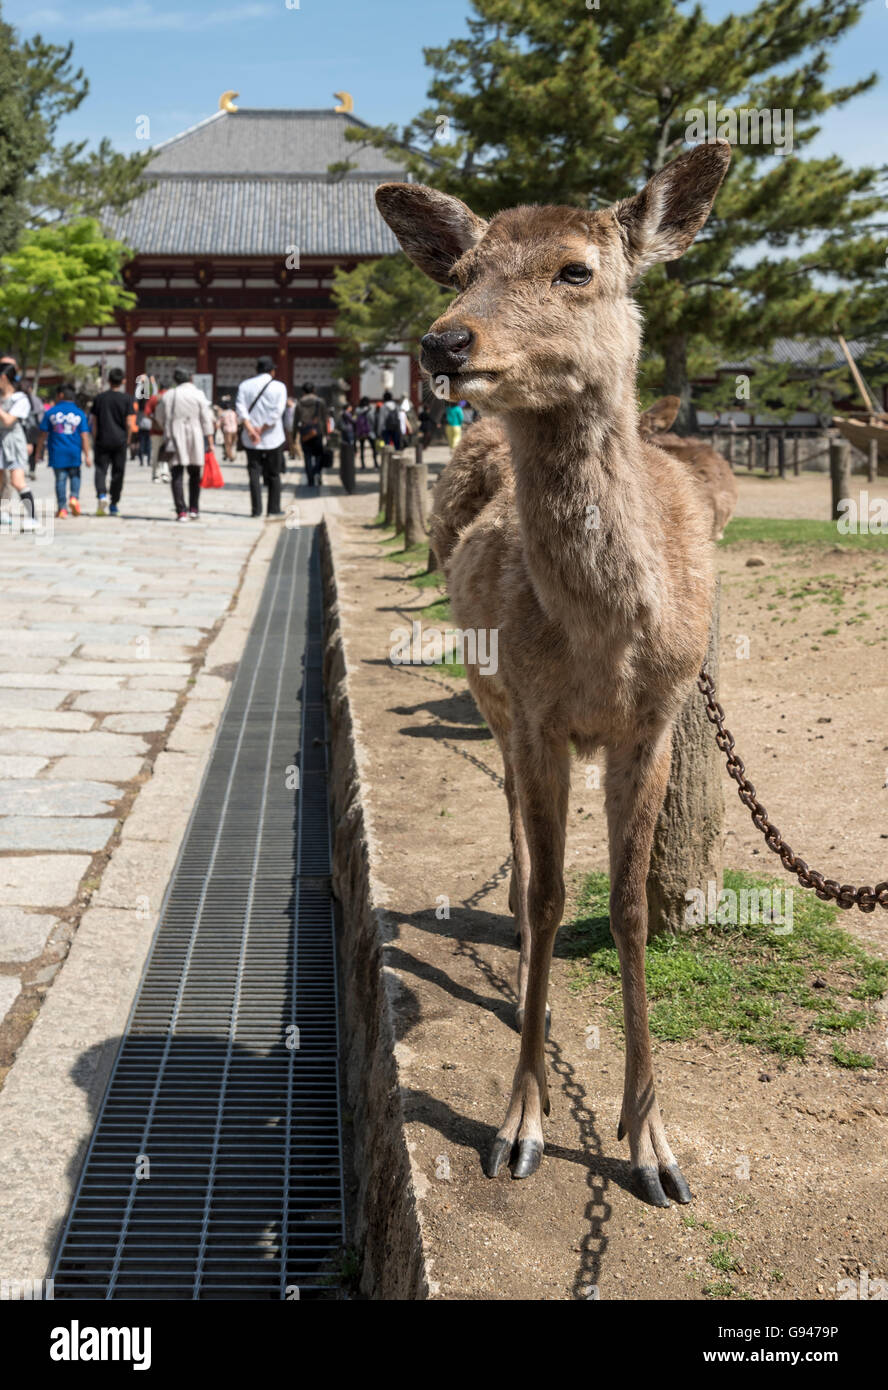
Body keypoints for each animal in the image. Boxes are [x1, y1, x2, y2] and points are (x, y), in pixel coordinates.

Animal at [375, 140, 731, 1207]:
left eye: (577, 268)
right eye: (460, 269)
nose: (445, 343)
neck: (603, 646)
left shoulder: (655, 719)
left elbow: (628, 906)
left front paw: (653, 1148)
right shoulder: (536, 714)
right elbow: (548, 894)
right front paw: (519, 1127)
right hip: (490, 697)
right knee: (517, 843)